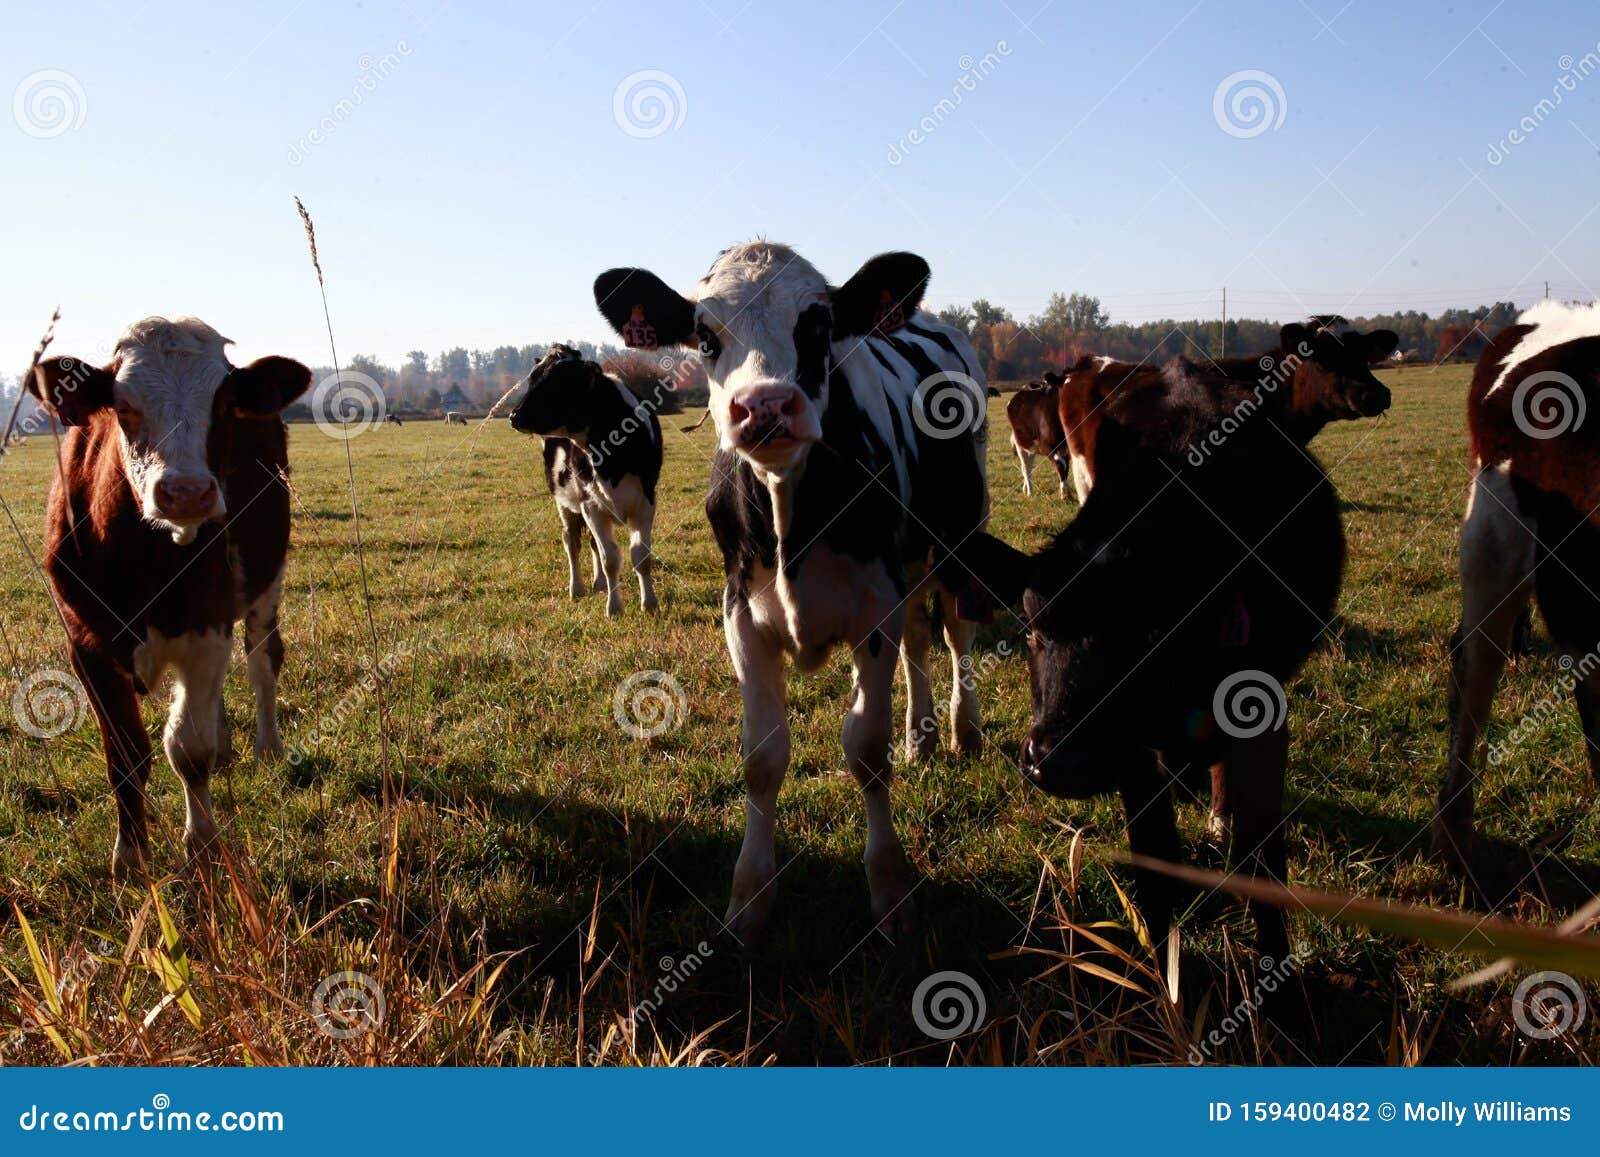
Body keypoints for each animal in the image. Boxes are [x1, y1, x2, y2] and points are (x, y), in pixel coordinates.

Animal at [24, 317, 311, 882]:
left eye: (224, 404)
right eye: (123, 406)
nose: (186, 492)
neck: (145, 562)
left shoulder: (207, 629)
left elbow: (188, 749)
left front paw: (201, 844)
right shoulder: (85, 645)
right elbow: (125, 756)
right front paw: (131, 858)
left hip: (265, 586)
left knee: (262, 662)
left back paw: (266, 746)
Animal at [508, 345, 663, 616]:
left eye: (556, 383)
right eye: (533, 378)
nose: (514, 416)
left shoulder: (646, 502)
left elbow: (641, 556)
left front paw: (650, 604)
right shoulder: (590, 505)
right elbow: (610, 559)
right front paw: (615, 608)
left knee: (590, 544)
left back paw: (599, 583)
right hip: (565, 503)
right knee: (572, 542)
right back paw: (577, 588)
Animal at [594, 242, 990, 938]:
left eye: (820, 325)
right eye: (704, 335)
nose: (765, 405)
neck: (788, 511)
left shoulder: (873, 612)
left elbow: (866, 751)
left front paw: (891, 892)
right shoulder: (740, 615)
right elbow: (762, 758)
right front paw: (750, 900)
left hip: (957, 535)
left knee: (955, 635)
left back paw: (961, 730)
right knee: (921, 638)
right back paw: (921, 738)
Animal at [940, 359, 1345, 957]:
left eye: (1154, 631)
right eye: (1032, 627)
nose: (1057, 759)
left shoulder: (1265, 716)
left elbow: (1263, 872)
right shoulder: (1132, 756)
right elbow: (1156, 876)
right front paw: (1164, 974)